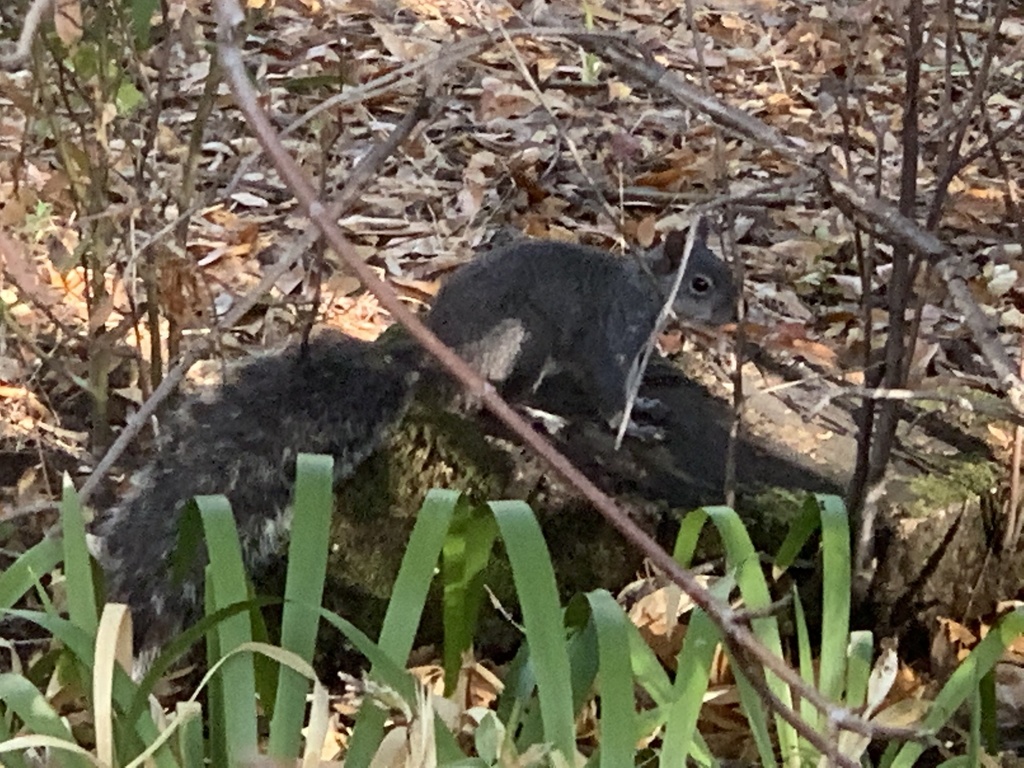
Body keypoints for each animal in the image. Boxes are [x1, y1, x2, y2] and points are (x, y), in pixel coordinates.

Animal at [93, 225, 737, 662]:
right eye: (701, 282)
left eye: (722, 271)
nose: (734, 313)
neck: (644, 290)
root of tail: (429, 360)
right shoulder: (609, 336)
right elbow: (609, 390)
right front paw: (636, 420)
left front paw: (650, 400)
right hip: (520, 340)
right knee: (483, 403)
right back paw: (535, 416)